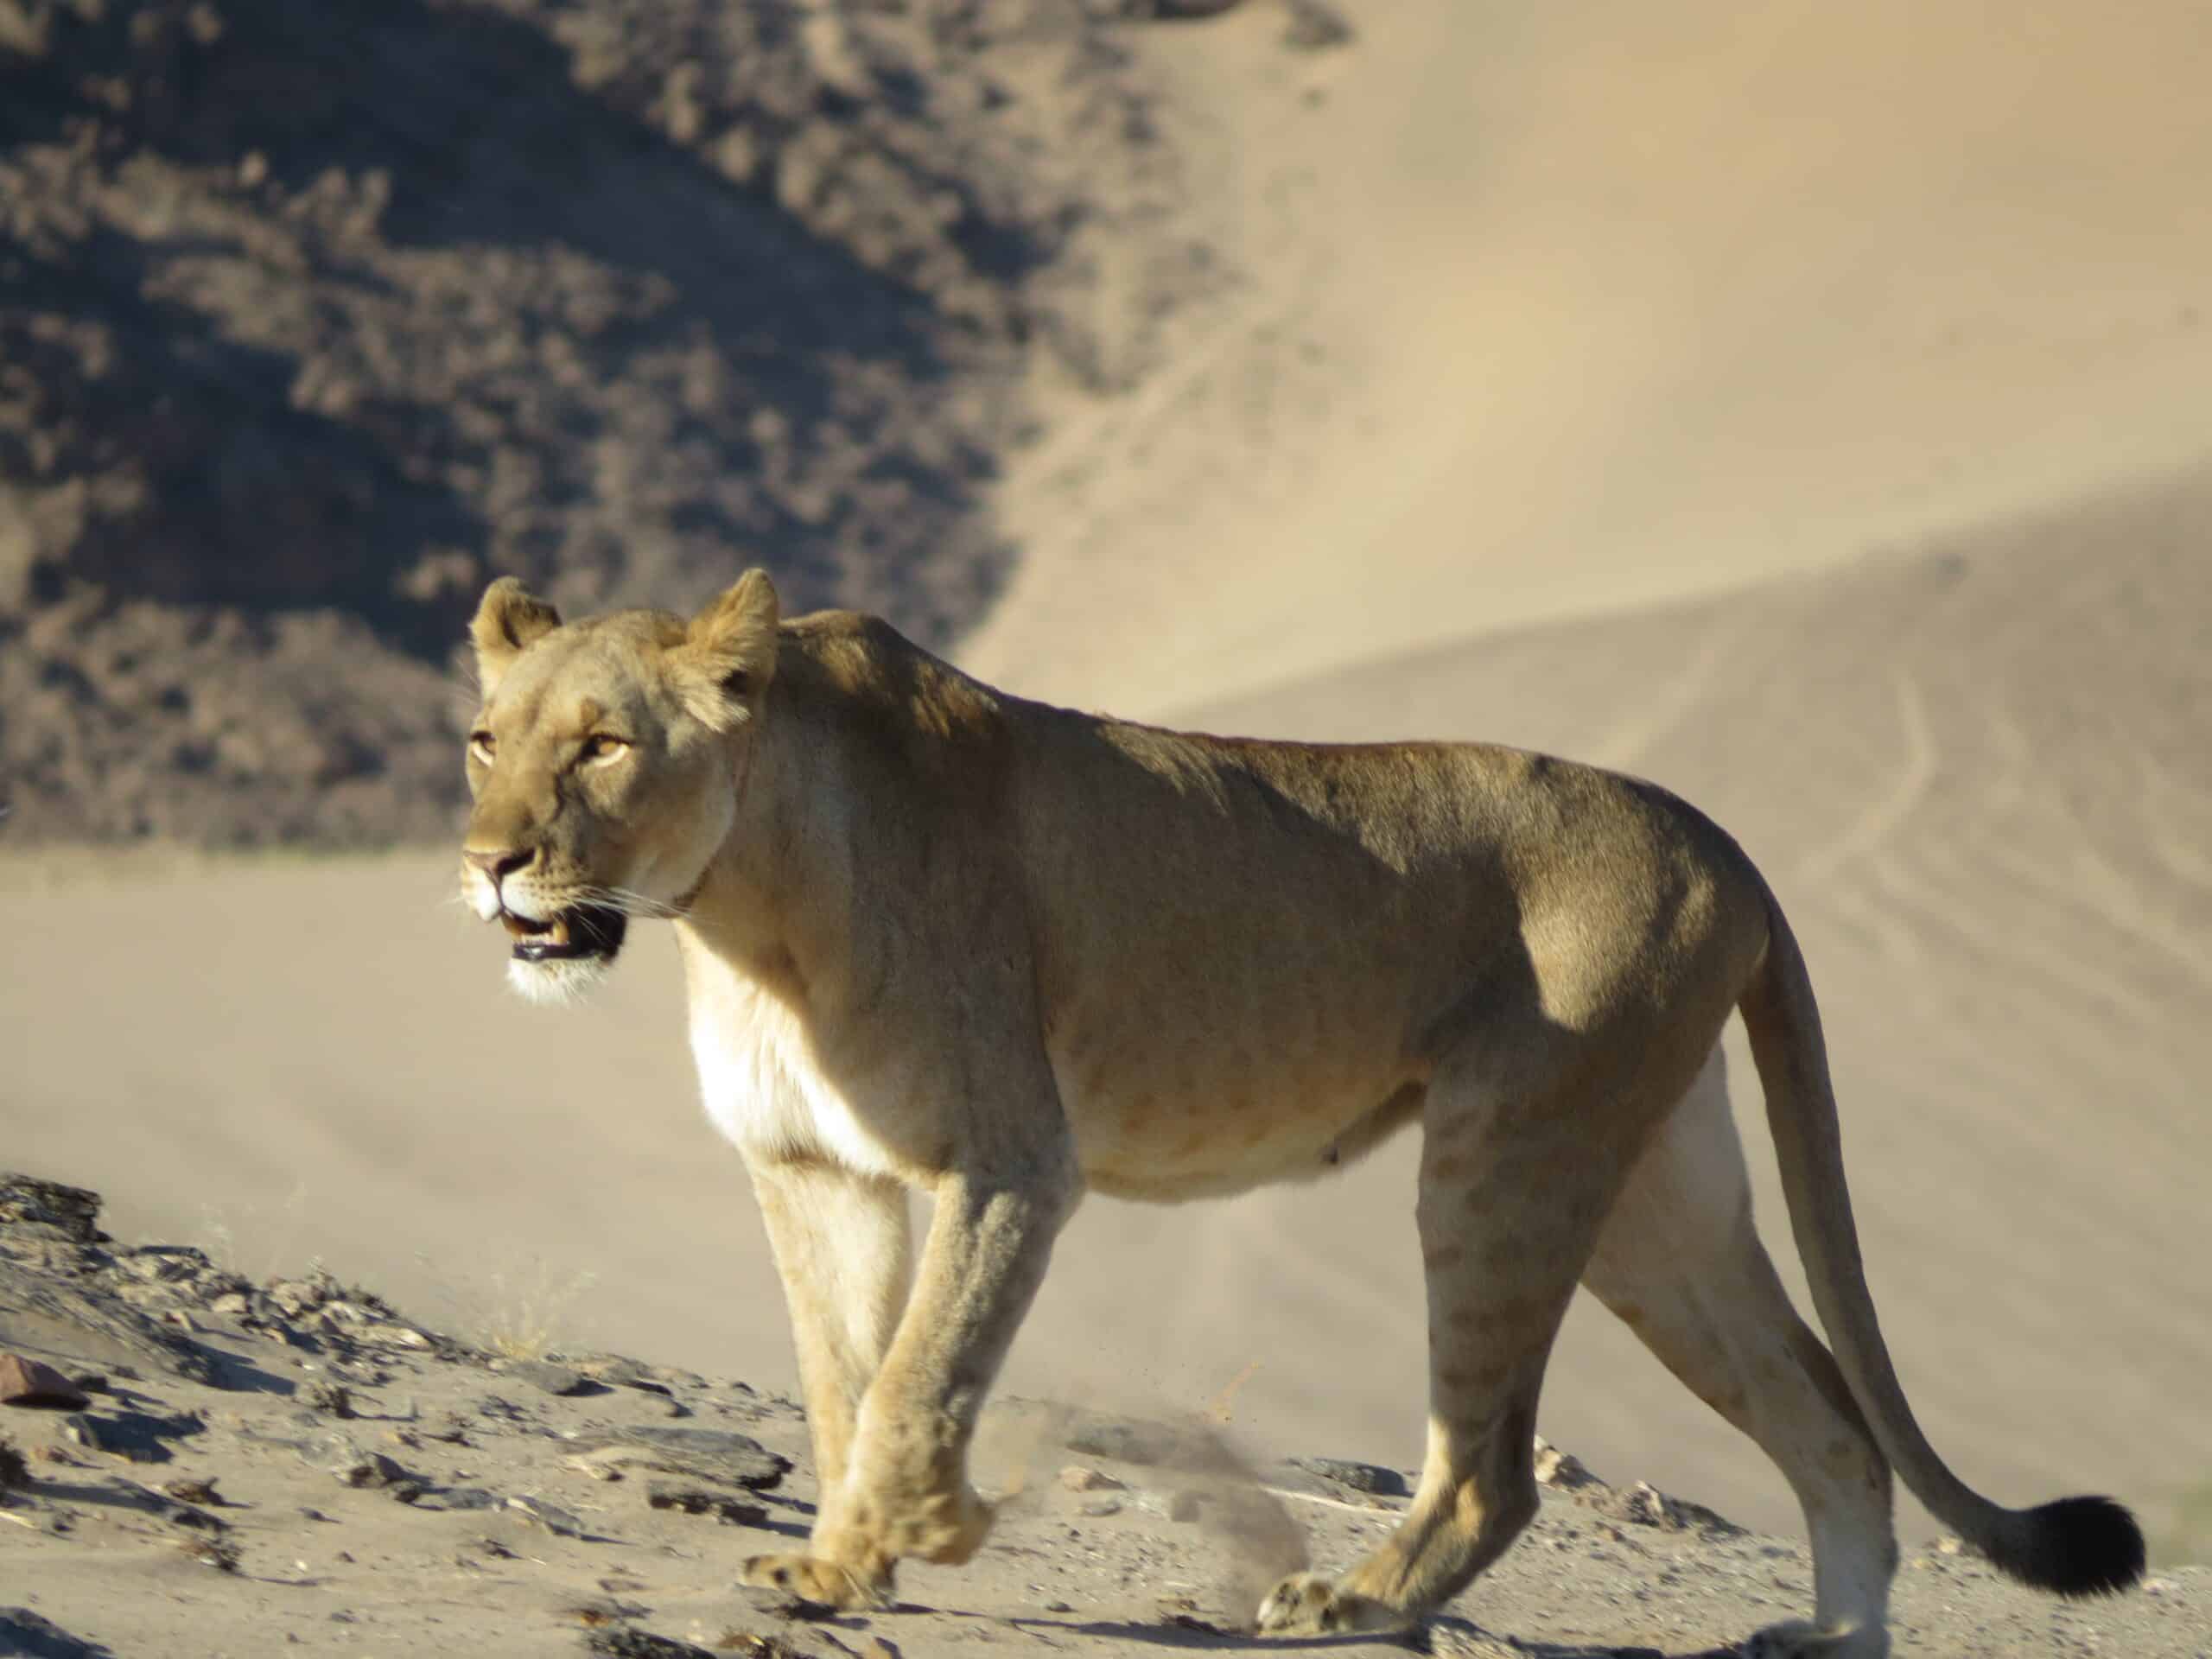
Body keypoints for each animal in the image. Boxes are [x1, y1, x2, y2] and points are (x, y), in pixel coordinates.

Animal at [456, 569, 2143, 1655]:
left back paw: (1351, 1601)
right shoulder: (812, 1169)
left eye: (603, 742)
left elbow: (916, 1376)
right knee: (1832, 1421)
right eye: (488, 739)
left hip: (1506, 1157)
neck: (742, 910)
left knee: (1496, 1463)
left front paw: (935, 1531)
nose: (487, 864)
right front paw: (836, 1570)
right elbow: (838, 1376)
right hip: (1656, 1200)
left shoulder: (1011, 1159)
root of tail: (1719, 838)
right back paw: (1831, 1635)